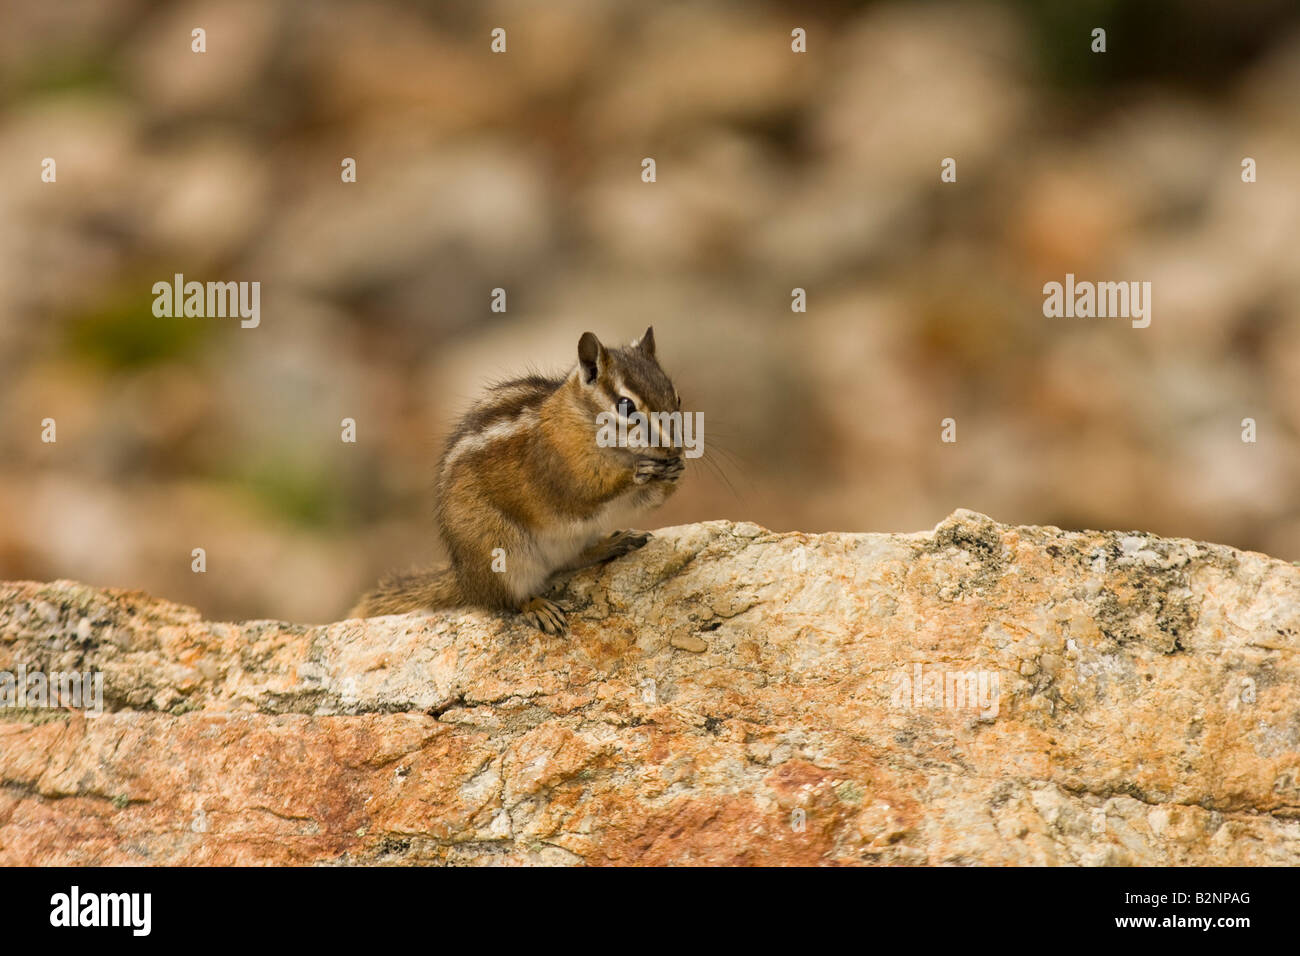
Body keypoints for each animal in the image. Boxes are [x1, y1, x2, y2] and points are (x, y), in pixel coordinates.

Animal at [349, 327, 686, 634]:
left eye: (677, 397)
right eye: (626, 406)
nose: (676, 448)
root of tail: (466, 580)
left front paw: (672, 476)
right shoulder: (557, 467)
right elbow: (584, 491)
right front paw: (639, 472)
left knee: (570, 561)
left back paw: (613, 543)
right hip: (501, 552)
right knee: (507, 600)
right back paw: (537, 607)